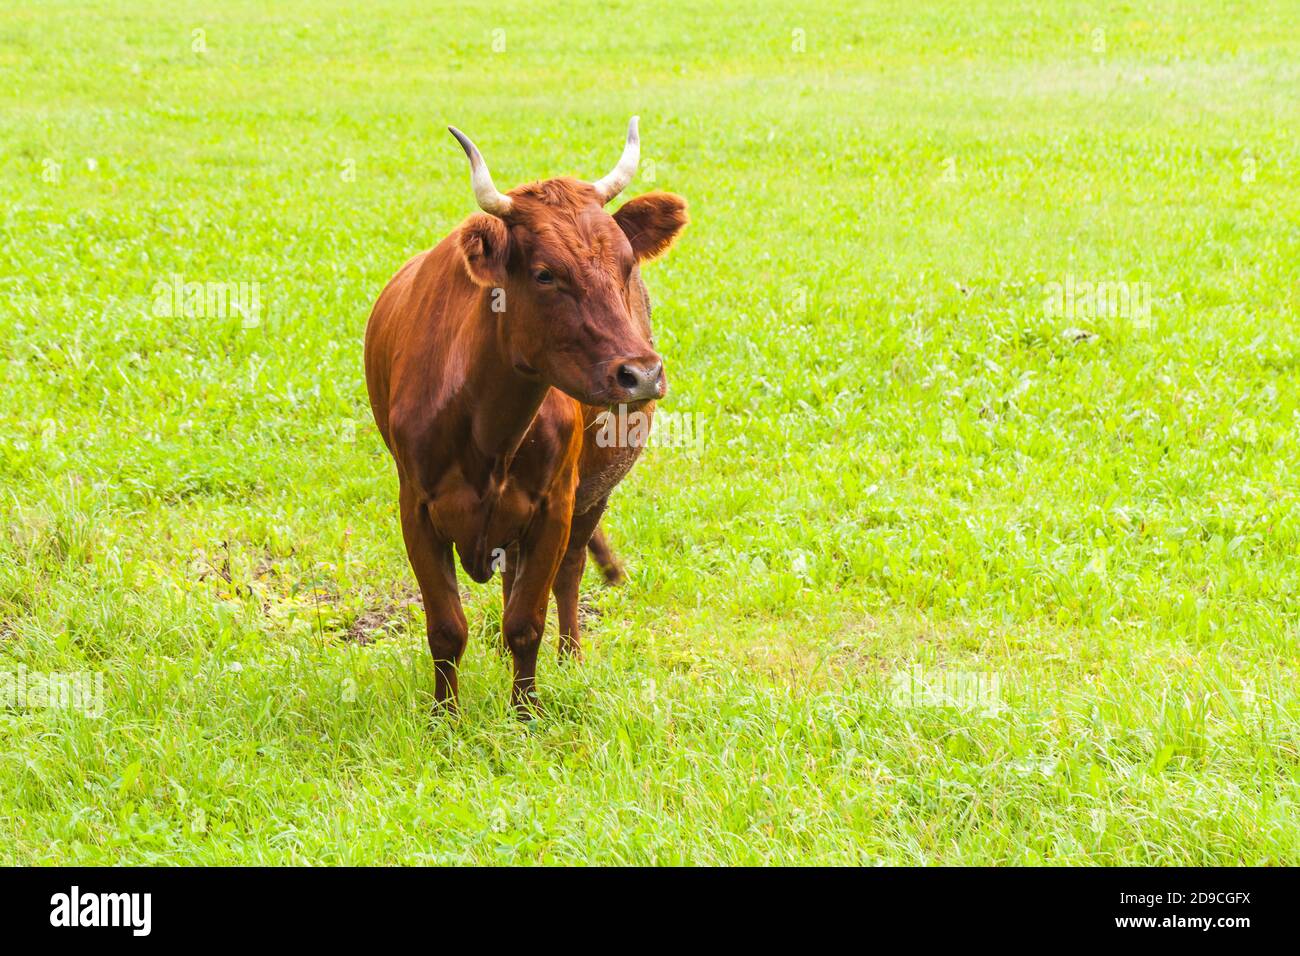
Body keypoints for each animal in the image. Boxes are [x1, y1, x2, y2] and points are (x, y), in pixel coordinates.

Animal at [364, 118, 688, 716]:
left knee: (568, 572)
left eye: (626, 264)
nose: (642, 373)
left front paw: (525, 713)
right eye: (544, 274)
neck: (486, 430)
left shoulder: (554, 506)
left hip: (594, 492)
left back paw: (571, 655)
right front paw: (444, 717)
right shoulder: (415, 508)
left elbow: (527, 620)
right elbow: (446, 627)